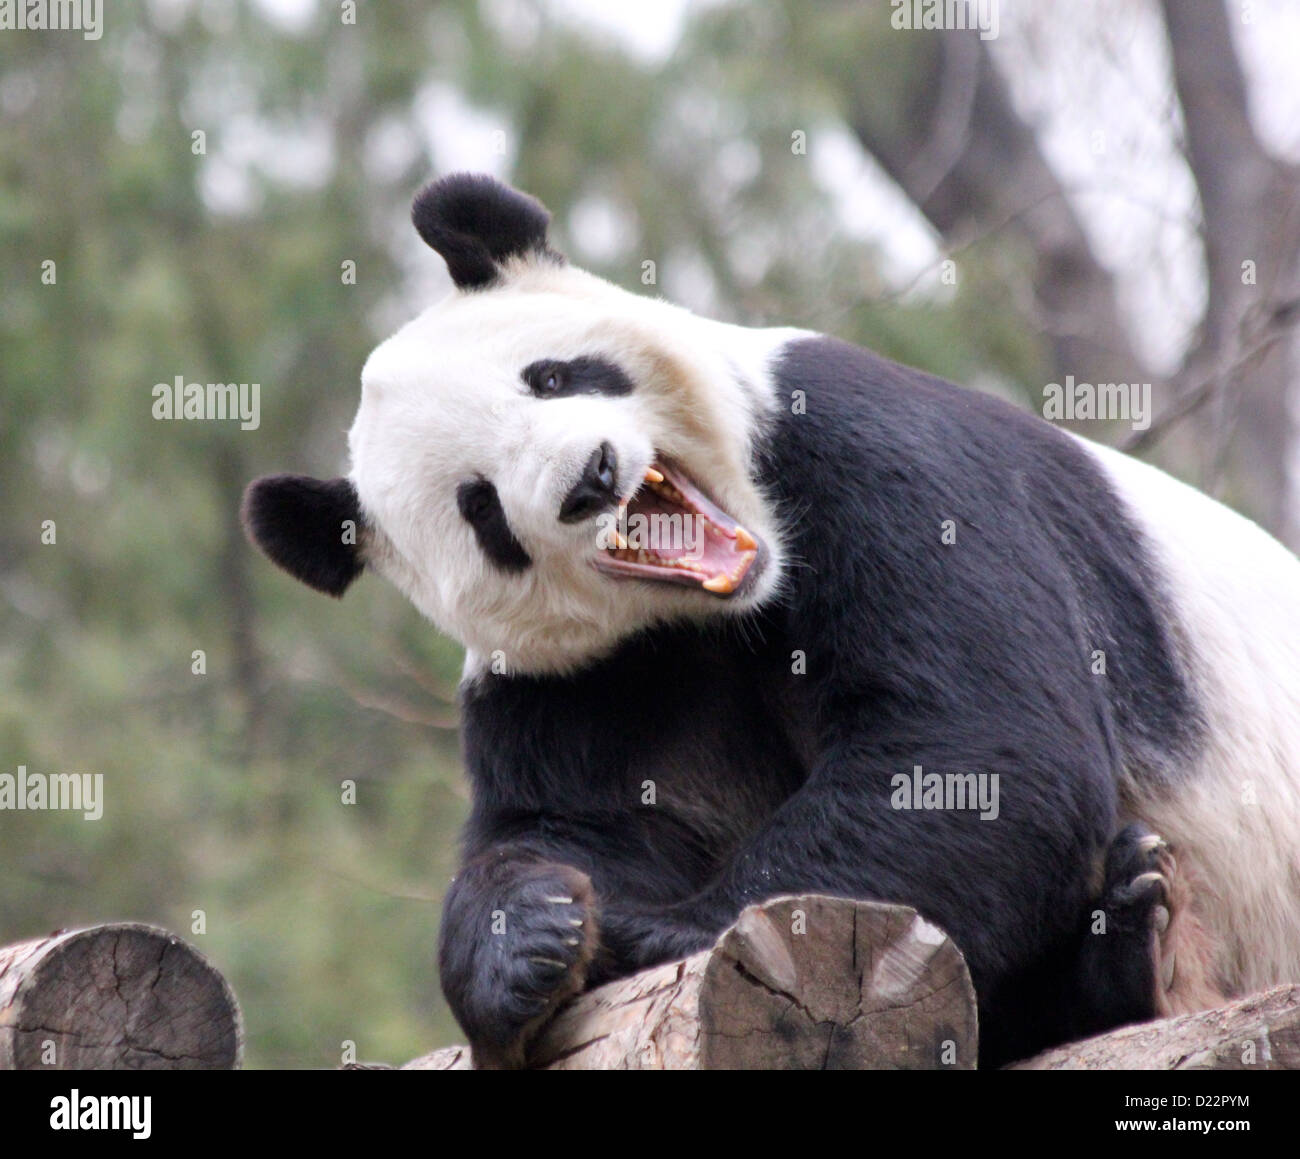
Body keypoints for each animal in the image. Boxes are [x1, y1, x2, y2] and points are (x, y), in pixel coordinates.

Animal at [243, 173, 1300, 1068]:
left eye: (551, 377)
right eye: (482, 510)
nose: (590, 479)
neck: (740, 601)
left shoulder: (860, 448)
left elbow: (977, 745)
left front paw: (649, 932)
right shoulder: (577, 678)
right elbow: (580, 823)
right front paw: (528, 937)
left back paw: (1137, 936)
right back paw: (1127, 943)